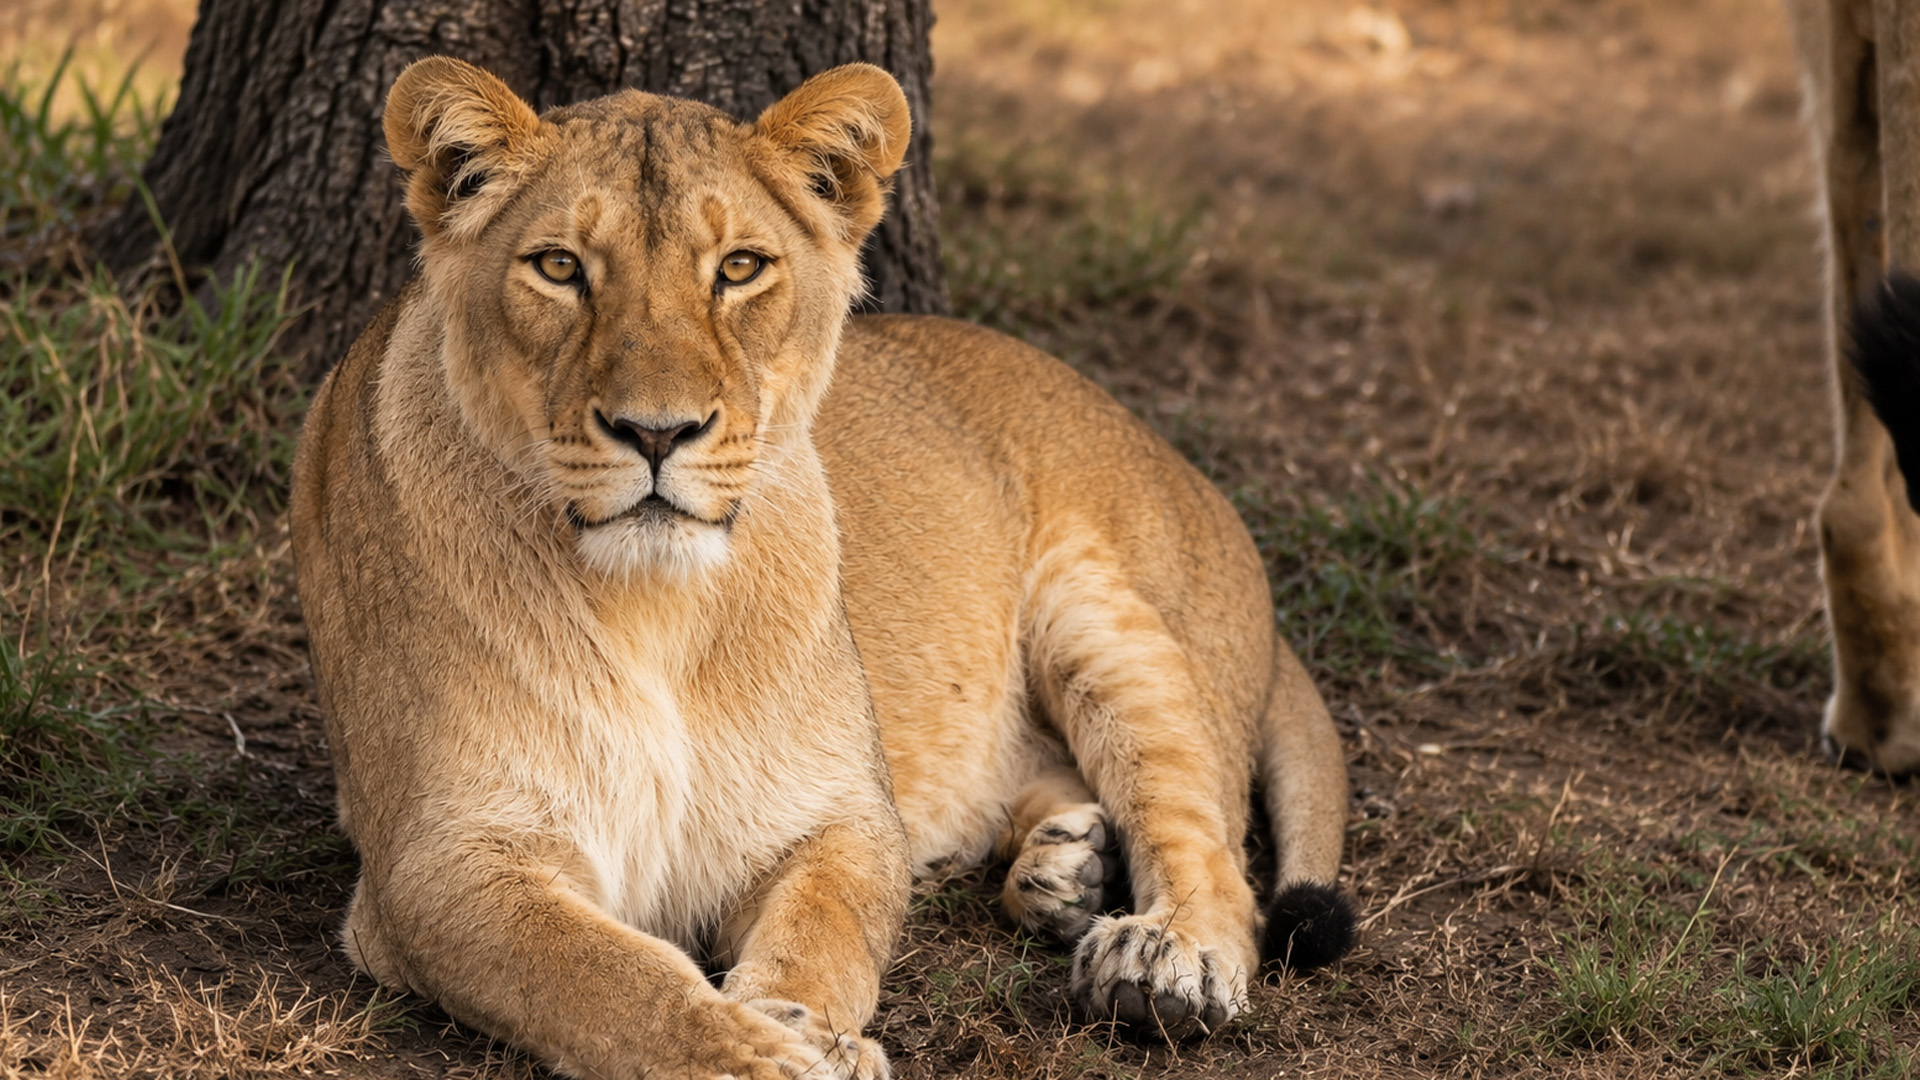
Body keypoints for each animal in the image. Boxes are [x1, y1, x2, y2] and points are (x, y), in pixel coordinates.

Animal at [290, 56, 1355, 1080]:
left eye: (740, 268)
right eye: (558, 267)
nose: (656, 432)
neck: (652, 606)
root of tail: (1179, 461)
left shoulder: (842, 814)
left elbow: (823, 934)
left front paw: (802, 1026)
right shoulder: (438, 865)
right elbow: (610, 980)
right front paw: (766, 1053)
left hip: (1107, 624)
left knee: (1210, 842)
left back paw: (1162, 957)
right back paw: (1063, 868)